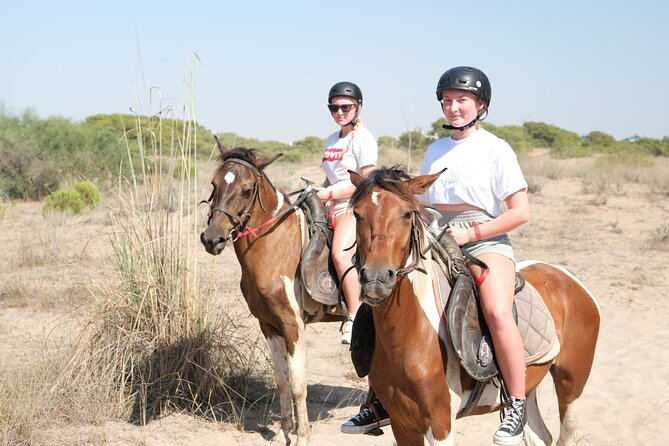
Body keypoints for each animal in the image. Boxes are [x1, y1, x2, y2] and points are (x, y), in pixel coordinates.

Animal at [200, 138, 346, 446]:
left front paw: (302, 436)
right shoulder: (269, 325)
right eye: (214, 184)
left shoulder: (293, 325)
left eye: (246, 190)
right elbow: (282, 380)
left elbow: (299, 384)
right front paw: (283, 432)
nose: (212, 239)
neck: (276, 246)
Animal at [349, 166, 600, 446]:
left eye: (406, 214)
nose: (376, 279)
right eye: (357, 214)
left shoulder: (440, 423)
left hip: (572, 382)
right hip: (530, 384)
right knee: (541, 436)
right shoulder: (402, 424)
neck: (411, 333)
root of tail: (565, 275)